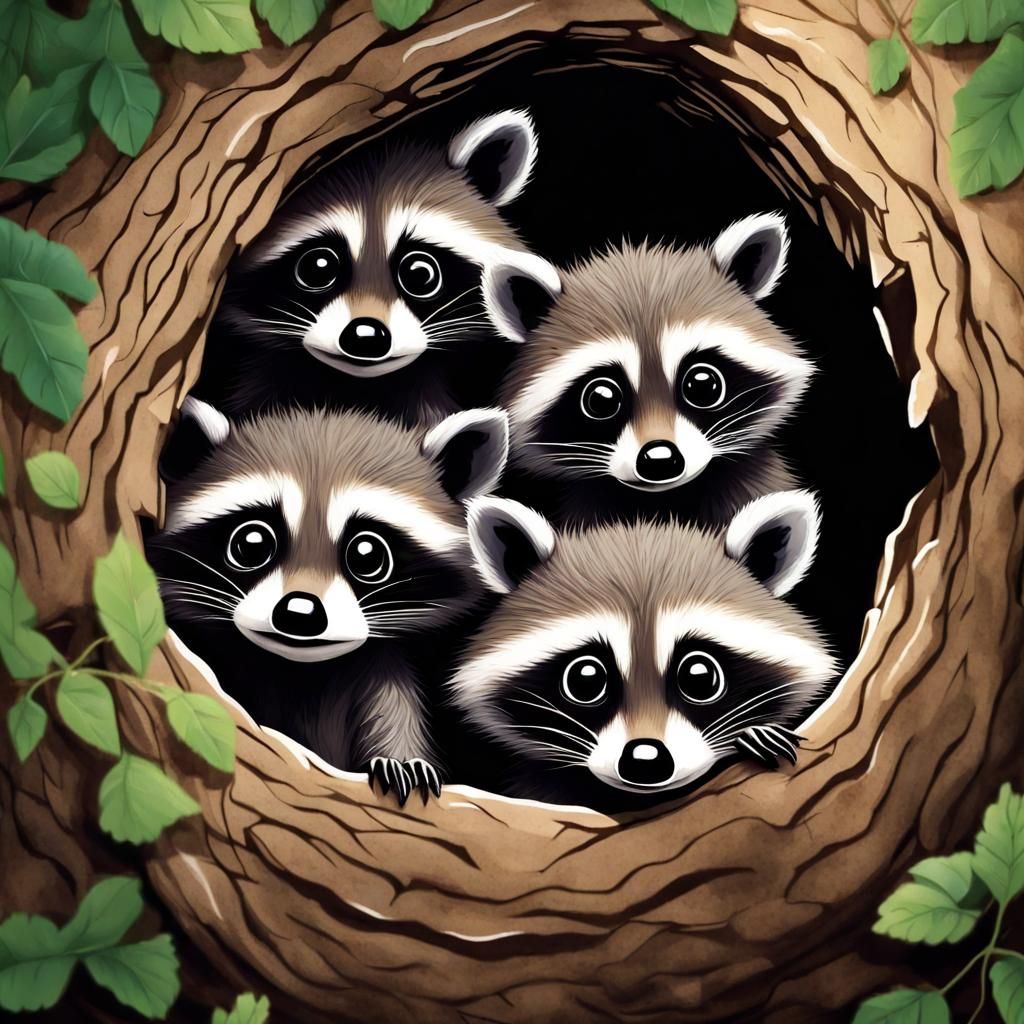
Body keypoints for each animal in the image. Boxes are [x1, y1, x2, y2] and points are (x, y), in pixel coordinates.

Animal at [146, 397, 510, 804]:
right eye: (252, 543)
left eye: (367, 554)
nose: (299, 613)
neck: (303, 669)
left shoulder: (381, 660)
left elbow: (391, 704)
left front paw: (400, 758)